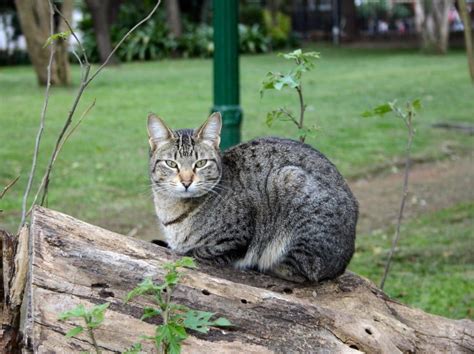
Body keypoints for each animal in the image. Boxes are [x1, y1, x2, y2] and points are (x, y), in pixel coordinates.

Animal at [146, 112, 358, 284]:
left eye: (201, 163)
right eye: (171, 164)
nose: (186, 181)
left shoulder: (235, 238)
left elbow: (196, 252)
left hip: (290, 181)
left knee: (298, 272)